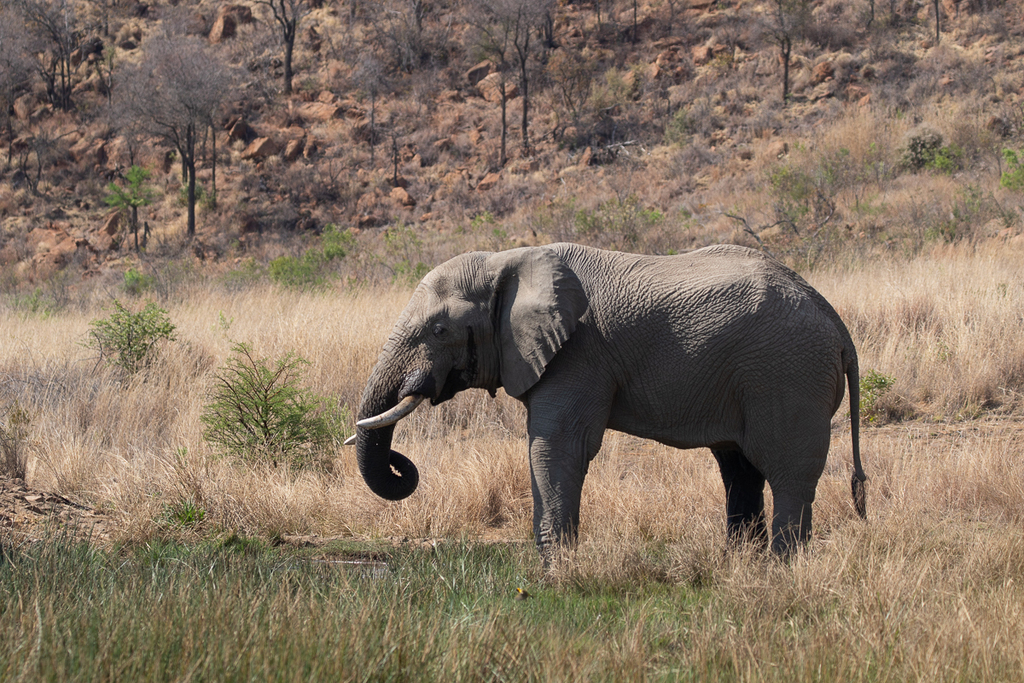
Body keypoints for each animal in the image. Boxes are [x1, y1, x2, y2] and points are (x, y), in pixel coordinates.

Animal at [349, 243, 867, 557]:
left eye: (439, 330)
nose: (401, 462)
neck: (509, 260)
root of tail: (836, 324)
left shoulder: (578, 353)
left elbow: (556, 446)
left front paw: (556, 573)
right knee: (740, 469)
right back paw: (744, 564)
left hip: (788, 377)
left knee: (786, 473)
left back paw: (780, 569)